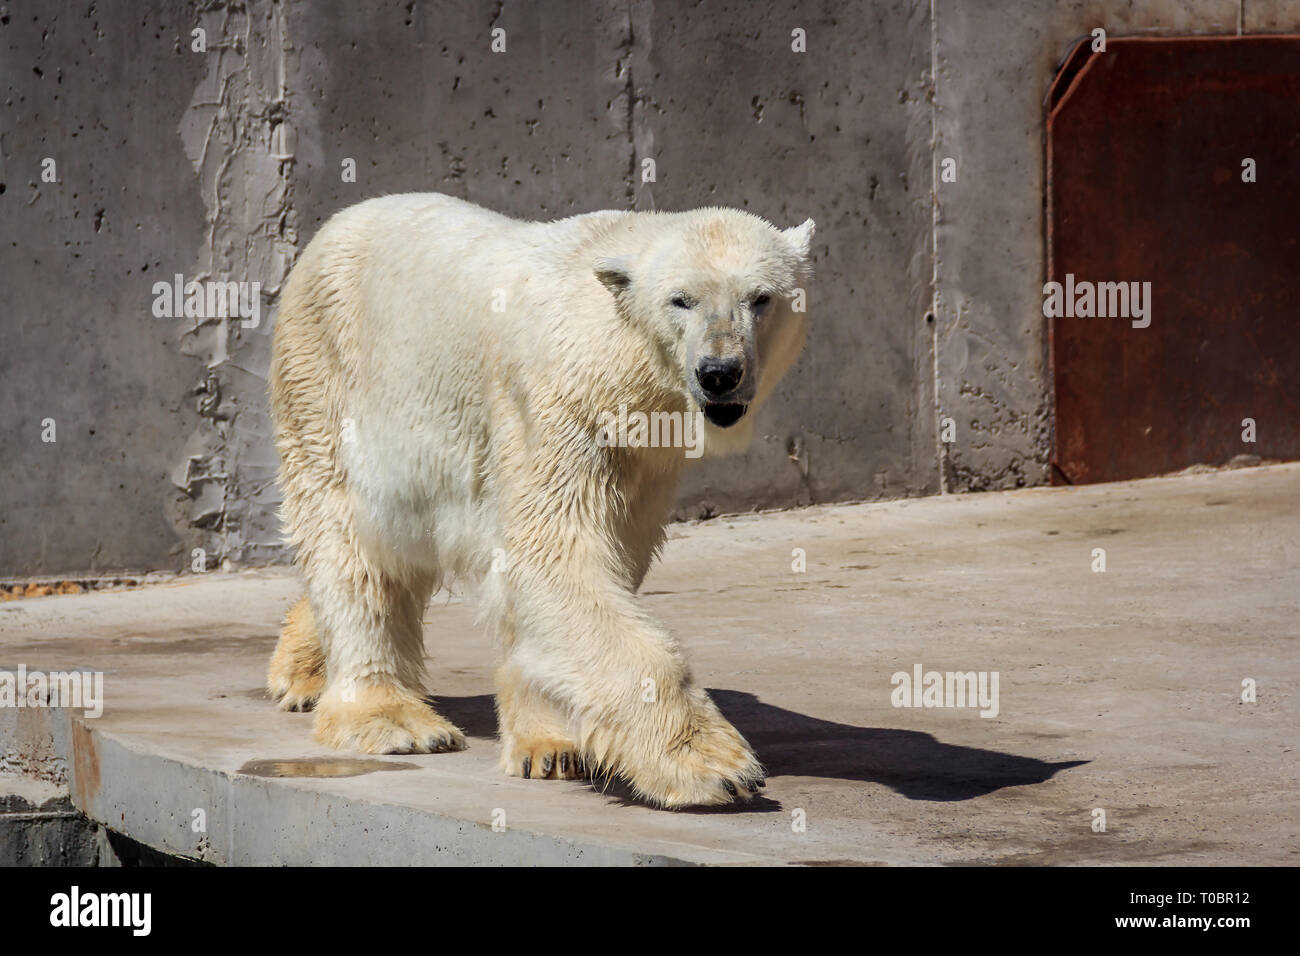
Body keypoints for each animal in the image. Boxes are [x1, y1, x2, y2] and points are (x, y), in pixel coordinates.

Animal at [267, 192, 813, 808]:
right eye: (681, 299)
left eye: (761, 298)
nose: (720, 373)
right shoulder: (553, 405)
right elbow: (554, 556)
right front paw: (714, 765)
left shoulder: (639, 458)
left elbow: (586, 570)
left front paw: (549, 746)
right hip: (329, 380)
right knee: (347, 543)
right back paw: (390, 719)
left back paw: (302, 669)